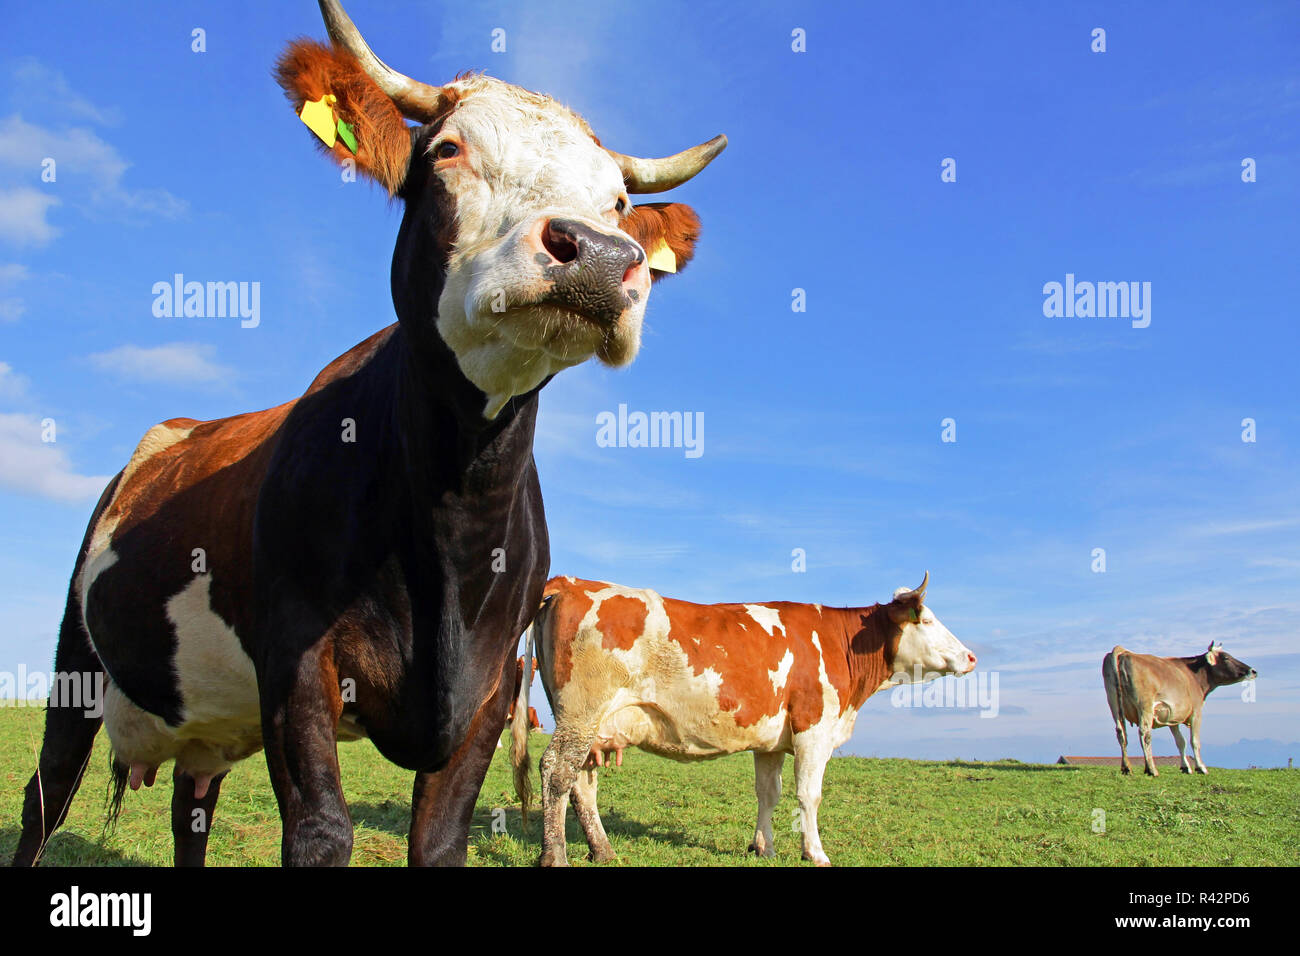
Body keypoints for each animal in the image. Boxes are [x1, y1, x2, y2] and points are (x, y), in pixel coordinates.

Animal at [13, 0, 723, 868]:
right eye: (448, 150)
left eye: (619, 204)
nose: (596, 255)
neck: (456, 519)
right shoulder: (295, 664)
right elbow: (321, 831)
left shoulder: (490, 691)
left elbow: (440, 840)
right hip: (74, 664)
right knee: (46, 793)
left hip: (207, 726)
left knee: (193, 805)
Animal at [511, 572, 977, 866]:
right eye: (927, 619)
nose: (972, 656)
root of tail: (572, 582)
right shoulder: (813, 731)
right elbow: (809, 796)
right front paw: (815, 853)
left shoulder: (770, 742)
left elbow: (768, 794)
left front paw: (763, 848)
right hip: (581, 714)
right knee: (556, 771)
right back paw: (554, 855)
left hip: (594, 726)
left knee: (582, 783)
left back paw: (603, 851)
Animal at [1102, 642, 1256, 776]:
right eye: (1226, 657)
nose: (1253, 671)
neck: (1194, 676)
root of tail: (1123, 651)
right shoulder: (1196, 712)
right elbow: (1194, 741)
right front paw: (1201, 767)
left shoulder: (1172, 717)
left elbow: (1180, 742)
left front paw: (1185, 767)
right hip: (1144, 705)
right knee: (1145, 733)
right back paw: (1151, 769)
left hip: (1113, 704)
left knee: (1121, 733)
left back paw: (1126, 768)